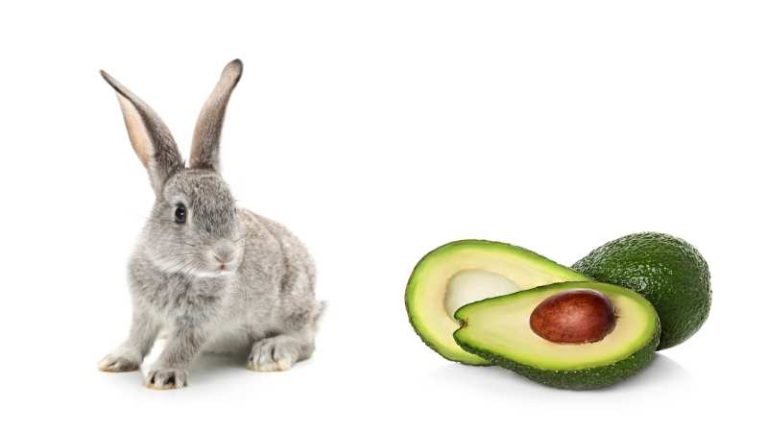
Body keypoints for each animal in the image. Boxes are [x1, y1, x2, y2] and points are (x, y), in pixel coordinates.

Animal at [97, 59, 322, 390]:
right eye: (180, 213)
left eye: (232, 208)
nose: (225, 255)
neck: (176, 269)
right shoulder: (143, 311)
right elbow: (138, 337)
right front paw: (117, 360)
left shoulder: (201, 321)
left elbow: (182, 346)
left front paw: (163, 375)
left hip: (292, 304)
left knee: (306, 340)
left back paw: (270, 352)